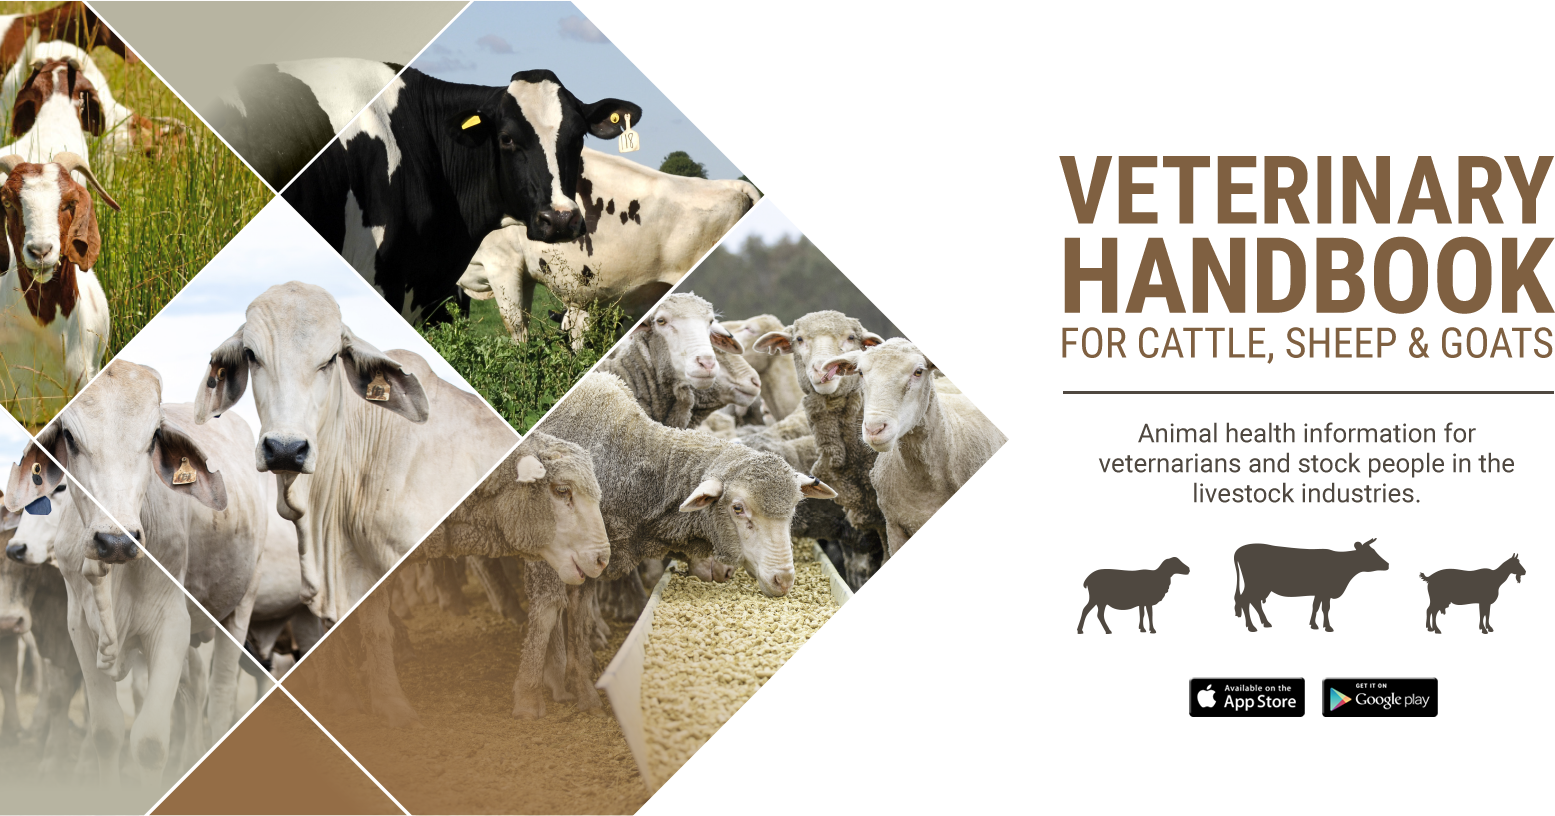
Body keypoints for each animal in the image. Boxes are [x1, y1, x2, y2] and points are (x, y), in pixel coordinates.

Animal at [1234, 538, 1389, 632]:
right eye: (1371, 554)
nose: (1387, 565)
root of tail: (1241, 549)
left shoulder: (1319, 592)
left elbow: (1316, 606)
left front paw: (1313, 625)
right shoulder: (1325, 592)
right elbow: (1325, 609)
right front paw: (1328, 627)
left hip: (1262, 587)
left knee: (1254, 601)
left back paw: (1265, 623)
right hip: (1254, 583)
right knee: (1245, 599)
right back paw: (1251, 627)